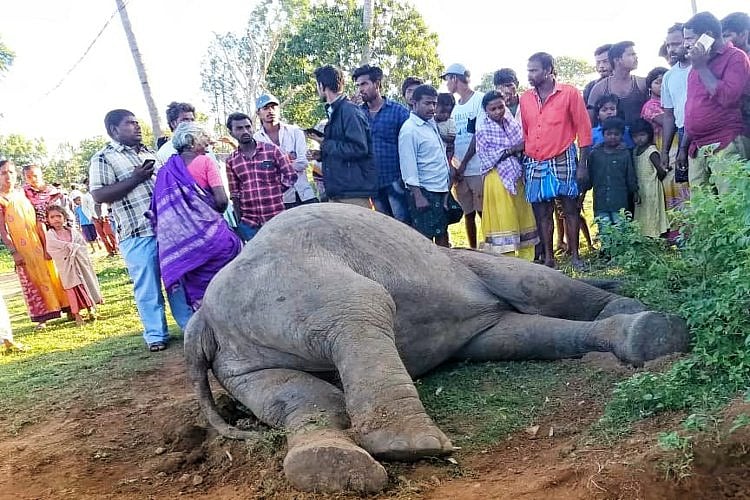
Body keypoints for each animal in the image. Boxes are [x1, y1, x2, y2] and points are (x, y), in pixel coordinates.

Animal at [184, 203, 689, 494]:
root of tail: (199, 321)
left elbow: (511, 328)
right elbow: (533, 292)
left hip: (240, 359)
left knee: (302, 394)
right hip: (293, 288)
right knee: (362, 311)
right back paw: (408, 449)